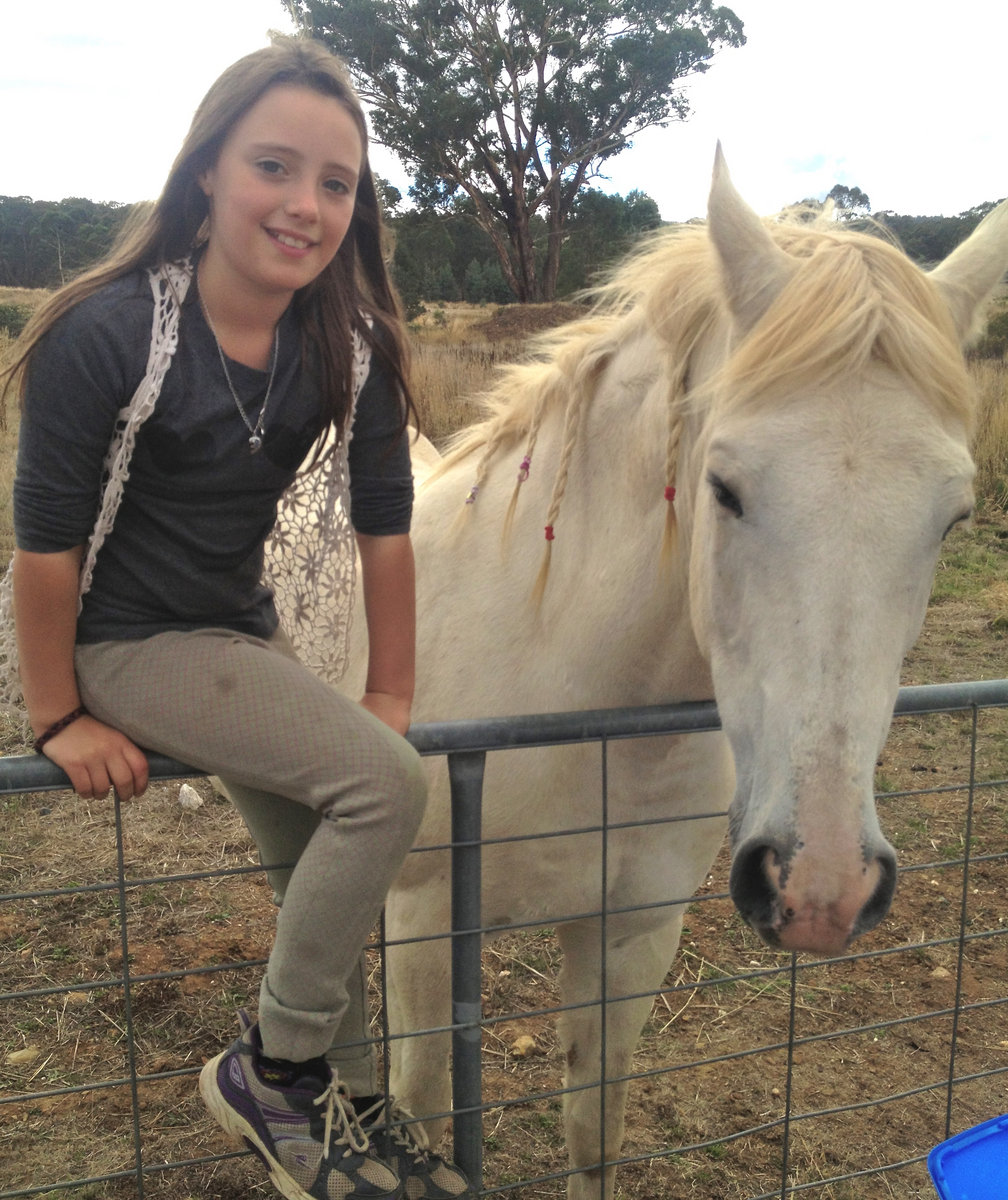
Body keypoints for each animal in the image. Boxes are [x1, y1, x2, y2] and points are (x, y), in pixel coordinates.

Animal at [343, 148, 1008, 1199]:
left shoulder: (631, 935)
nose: (822, 888)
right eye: (723, 487)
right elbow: (421, 1112)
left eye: (954, 517)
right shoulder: (424, 928)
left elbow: (594, 1129)